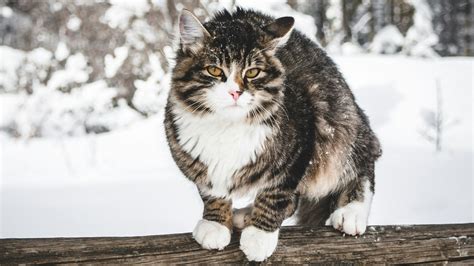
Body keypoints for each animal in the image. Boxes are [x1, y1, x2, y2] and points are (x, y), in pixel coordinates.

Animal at [165, 7, 384, 262]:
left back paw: (351, 212)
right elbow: (211, 192)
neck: (227, 125)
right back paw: (244, 214)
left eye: (253, 72)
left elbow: (275, 196)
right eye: (214, 70)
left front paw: (259, 236)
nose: (235, 92)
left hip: (339, 128)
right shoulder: (195, 159)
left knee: (362, 164)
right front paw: (215, 223)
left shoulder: (300, 148)